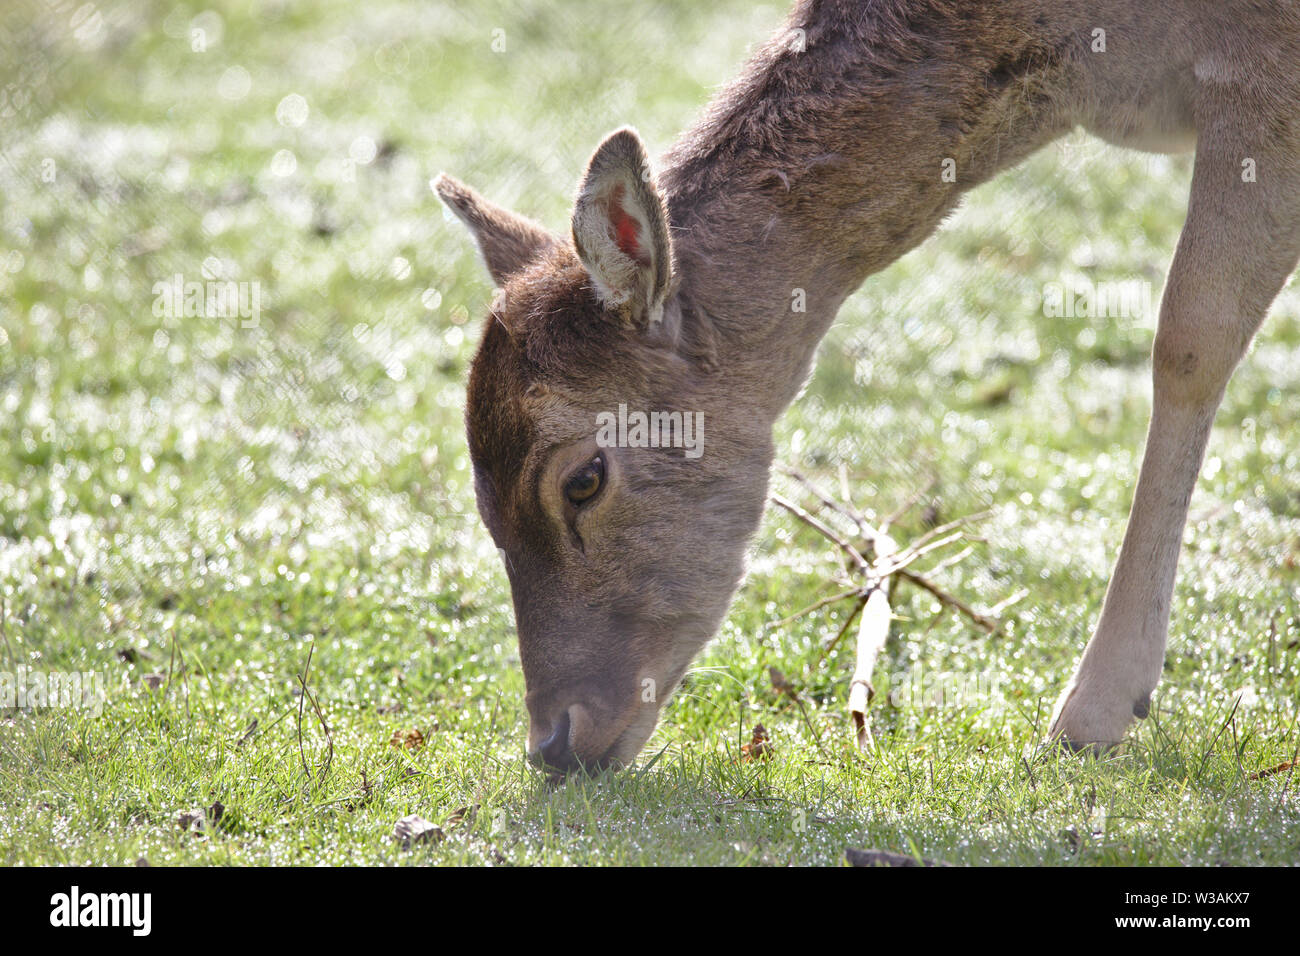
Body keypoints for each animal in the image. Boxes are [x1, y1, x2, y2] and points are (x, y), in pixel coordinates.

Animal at [434, 0, 1300, 775]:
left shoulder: (1266, 76)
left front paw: (1093, 713)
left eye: (583, 478)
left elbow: (1191, 337)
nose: (552, 743)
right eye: (478, 493)